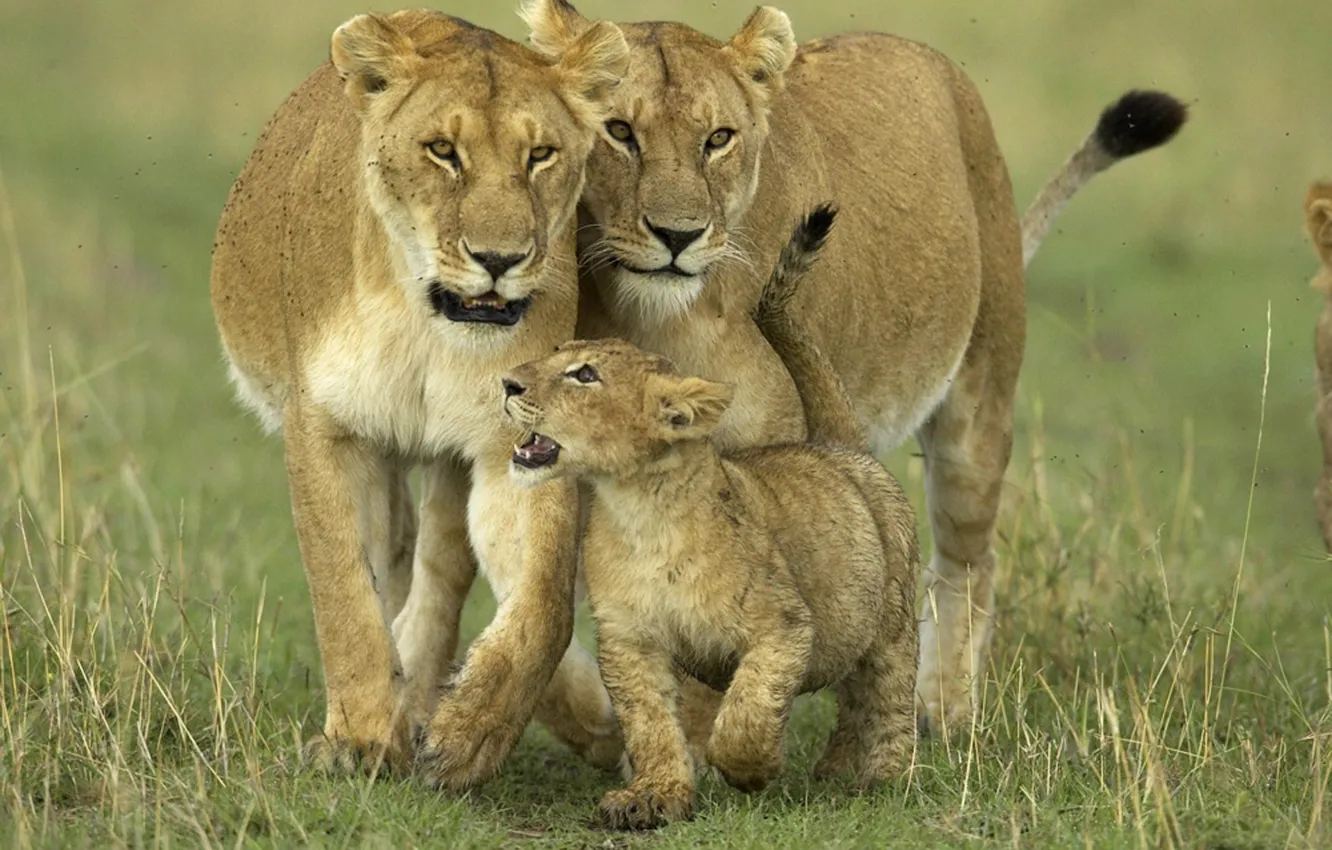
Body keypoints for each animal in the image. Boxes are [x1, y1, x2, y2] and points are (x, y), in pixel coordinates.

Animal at [208, 9, 634, 788]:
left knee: (444, 569)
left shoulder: (509, 438)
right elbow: (346, 590)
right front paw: (361, 740)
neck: (426, 322)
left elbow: (543, 604)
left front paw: (473, 730)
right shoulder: (328, 427)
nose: (499, 260)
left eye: (541, 155)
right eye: (443, 151)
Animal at [499, 206, 919, 830]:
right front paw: (653, 796)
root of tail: (837, 447)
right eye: (554, 352)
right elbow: (650, 725)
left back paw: (883, 779)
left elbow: (747, 707)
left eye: (584, 376)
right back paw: (837, 771)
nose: (508, 382)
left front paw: (751, 770)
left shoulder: (783, 626)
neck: (639, 511)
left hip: (892, 624)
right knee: (853, 701)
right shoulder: (630, 640)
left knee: (887, 698)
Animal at [518, 0, 1188, 736]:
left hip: (977, 406)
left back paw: (943, 709)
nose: (678, 235)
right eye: (619, 132)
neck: (655, 316)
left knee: (968, 561)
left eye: (718, 139)